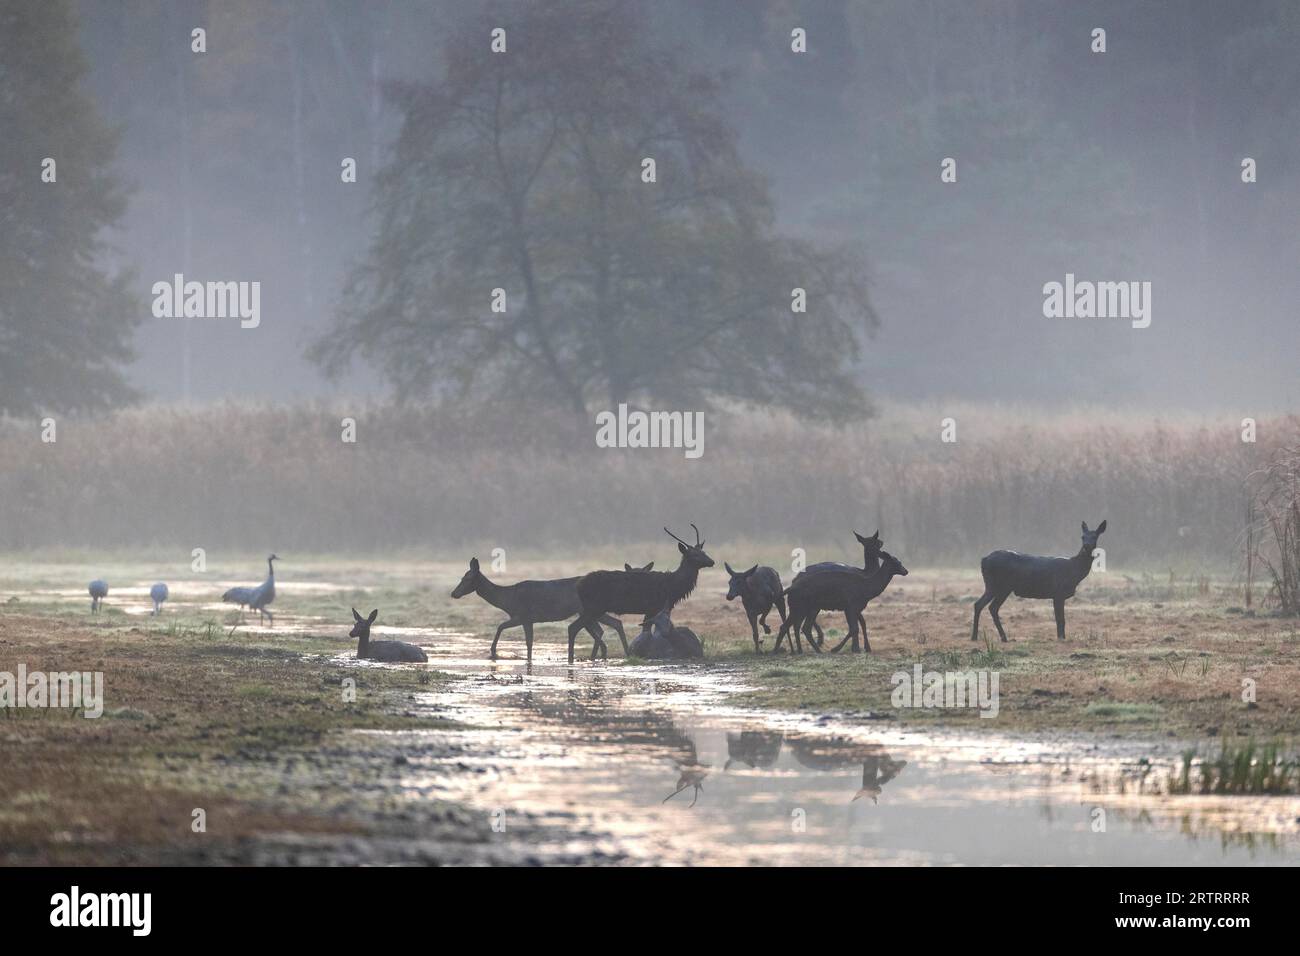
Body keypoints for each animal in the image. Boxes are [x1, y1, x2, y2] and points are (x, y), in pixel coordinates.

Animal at [450, 557, 630, 661]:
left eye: (467, 578)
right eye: (462, 577)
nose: (454, 593)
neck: (508, 600)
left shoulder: (523, 615)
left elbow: (503, 627)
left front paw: (494, 652)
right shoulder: (527, 619)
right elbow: (529, 642)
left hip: (590, 610)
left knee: (609, 626)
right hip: (590, 612)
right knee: (610, 625)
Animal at [567, 525, 714, 664]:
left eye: (703, 552)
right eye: (694, 555)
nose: (712, 562)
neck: (674, 588)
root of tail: (578, 585)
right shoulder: (655, 607)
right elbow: (649, 630)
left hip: (592, 609)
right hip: (594, 608)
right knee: (573, 627)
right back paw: (571, 660)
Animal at [775, 550, 909, 654]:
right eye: (898, 562)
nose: (906, 571)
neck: (867, 589)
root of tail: (790, 588)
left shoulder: (855, 607)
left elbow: (857, 626)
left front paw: (857, 648)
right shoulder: (850, 605)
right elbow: (854, 628)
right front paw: (845, 649)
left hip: (808, 608)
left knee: (797, 627)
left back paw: (801, 650)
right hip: (801, 607)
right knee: (796, 626)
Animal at [972, 520, 1107, 643]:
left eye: (1095, 536)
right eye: (1082, 537)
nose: (1086, 546)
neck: (1074, 571)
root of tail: (984, 560)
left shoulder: (1059, 595)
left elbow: (1061, 619)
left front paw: (1062, 637)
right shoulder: (1058, 593)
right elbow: (1060, 619)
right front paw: (1061, 638)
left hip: (996, 586)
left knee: (983, 605)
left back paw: (984, 637)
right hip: (999, 585)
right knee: (987, 606)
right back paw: (993, 637)